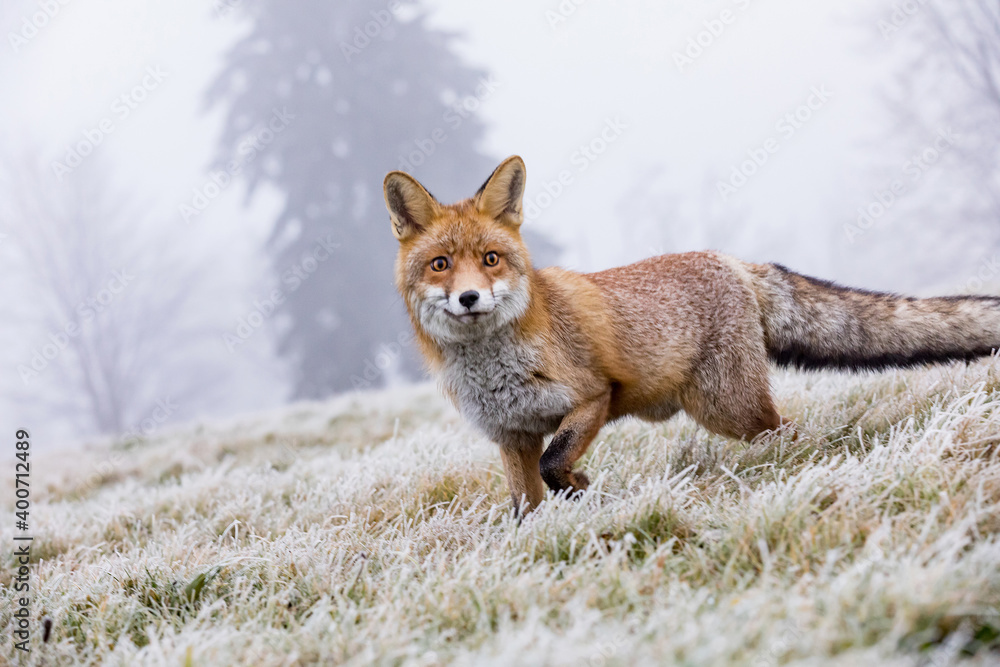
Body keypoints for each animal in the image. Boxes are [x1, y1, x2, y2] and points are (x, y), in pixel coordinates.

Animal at [383, 155, 1000, 514]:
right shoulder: (511, 436)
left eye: (490, 259)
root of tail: (730, 260)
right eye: (440, 265)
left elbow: (555, 465)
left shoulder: (592, 398)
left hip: (727, 406)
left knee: (790, 432)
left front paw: (580, 486)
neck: (495, 369)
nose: (469, 299)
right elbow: (525, 505)